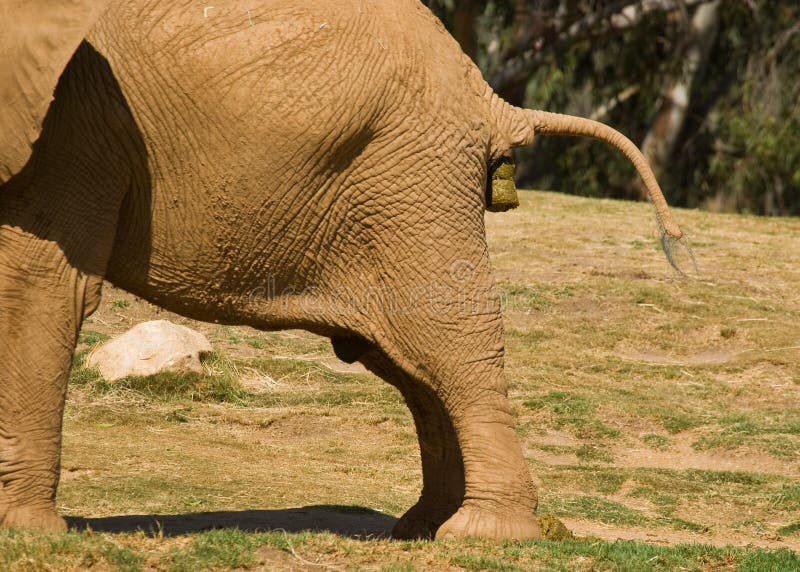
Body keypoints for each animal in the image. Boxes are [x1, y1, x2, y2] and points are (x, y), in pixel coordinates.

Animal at [0, 0, 686, 540]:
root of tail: (488, 96)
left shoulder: (73, 117)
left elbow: (39, 286)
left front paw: (26, 534)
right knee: (405, 358)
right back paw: (421, 527)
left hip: (411, 177)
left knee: (450, 337)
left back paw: (482, 533)